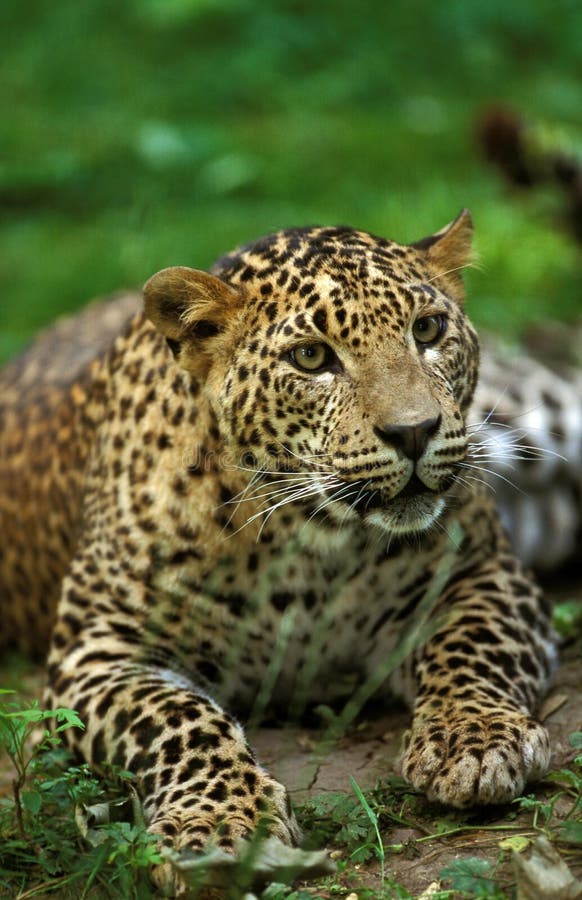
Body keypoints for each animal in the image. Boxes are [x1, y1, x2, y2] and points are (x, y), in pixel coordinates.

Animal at [0, 209, 579, 892]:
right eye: (311, 357)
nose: (414, 432)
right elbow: (179, 717)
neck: (308, 542)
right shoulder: (98, 650)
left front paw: (475, 738)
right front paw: (219, 823)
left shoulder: (481, 570)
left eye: (428, 329)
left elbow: (469, 644)